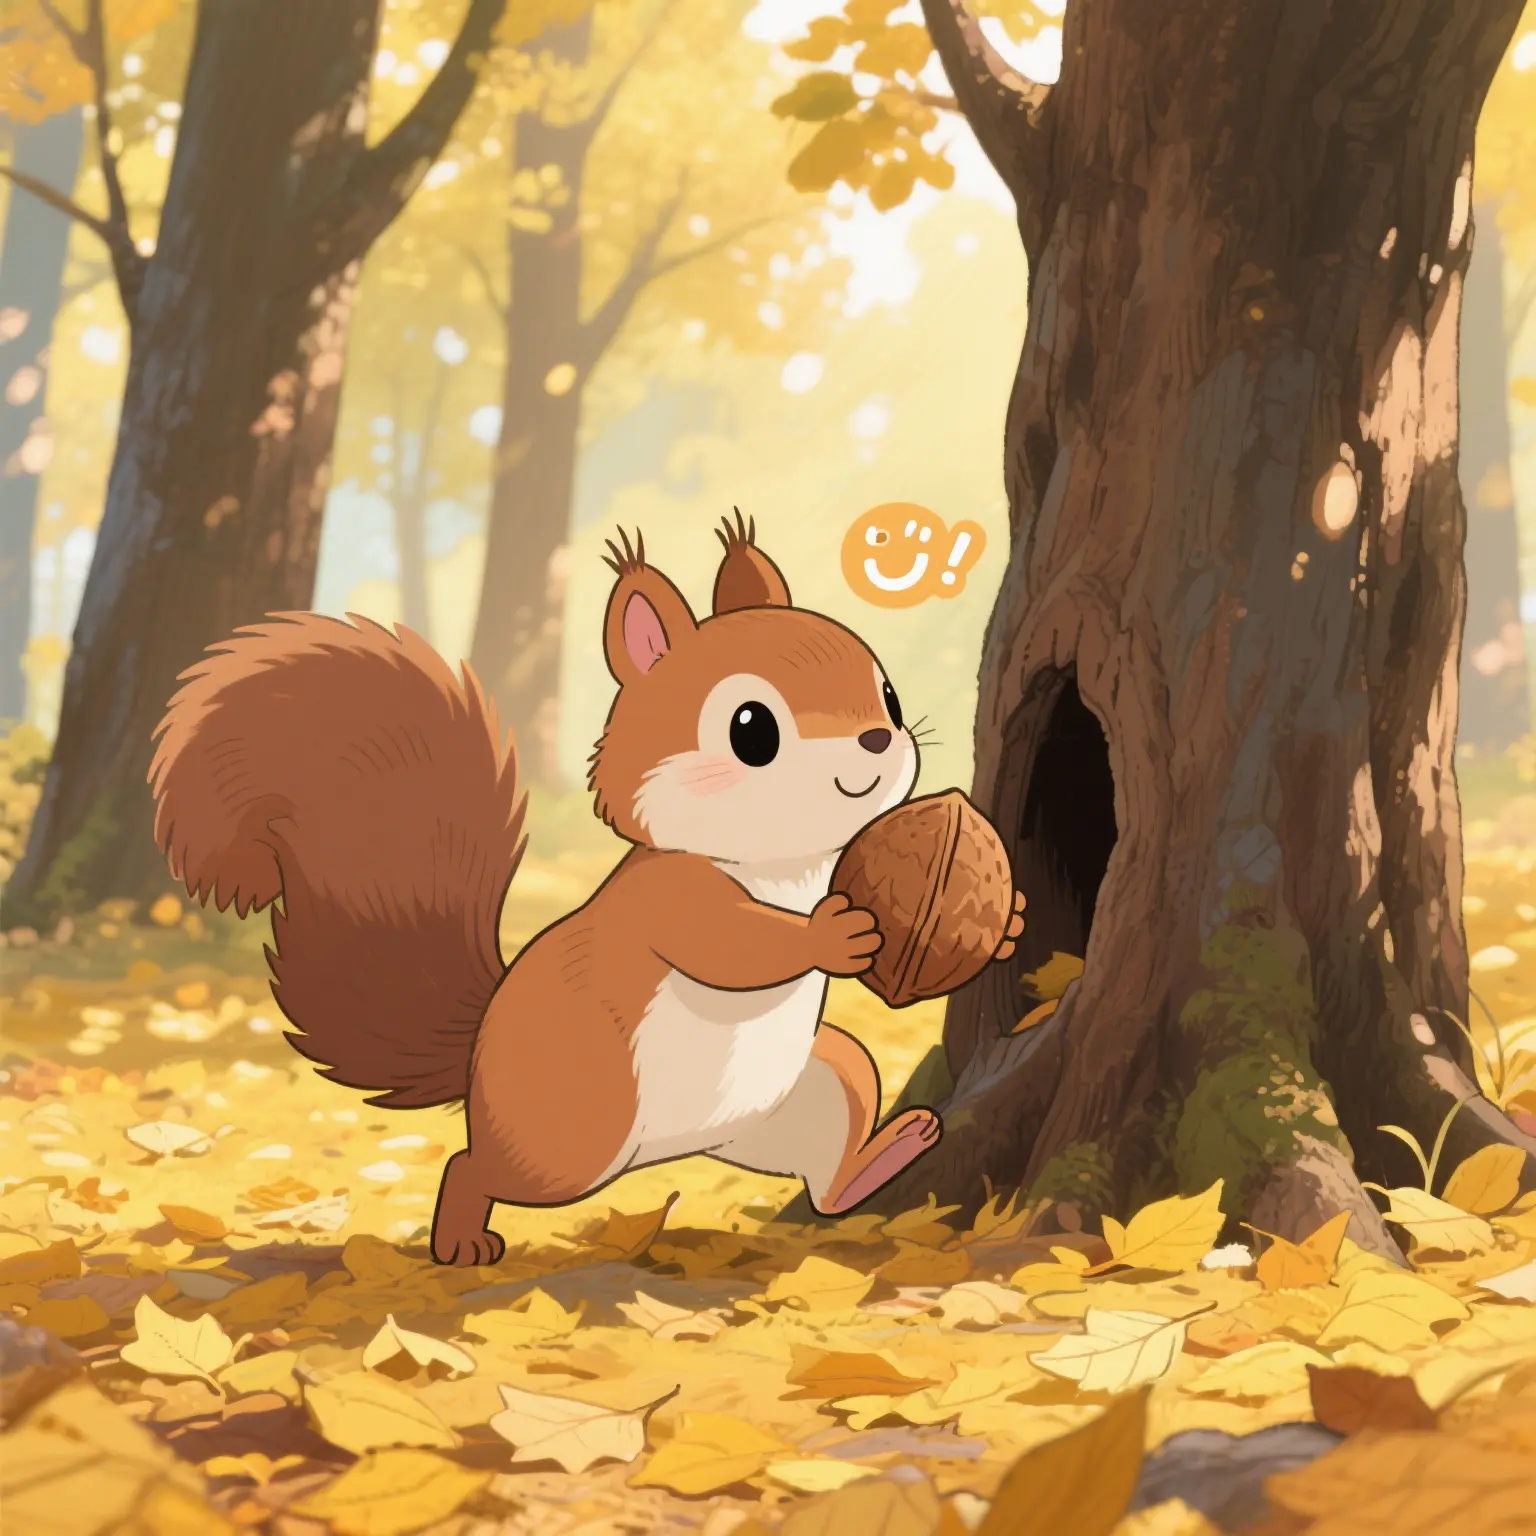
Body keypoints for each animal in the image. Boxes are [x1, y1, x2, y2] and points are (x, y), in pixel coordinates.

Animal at [148, 514, 1025, 1265]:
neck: (785, 864)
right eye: (752, 729)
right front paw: (834, 935)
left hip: (821, 1082)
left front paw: (1008, 921)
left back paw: (887, 1156)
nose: (880, 739)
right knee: (473, 1165)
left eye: (889, 694)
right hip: (570, 1139)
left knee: (829, 1184)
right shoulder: (665, 899)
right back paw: (460, 1240)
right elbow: (732, 945)